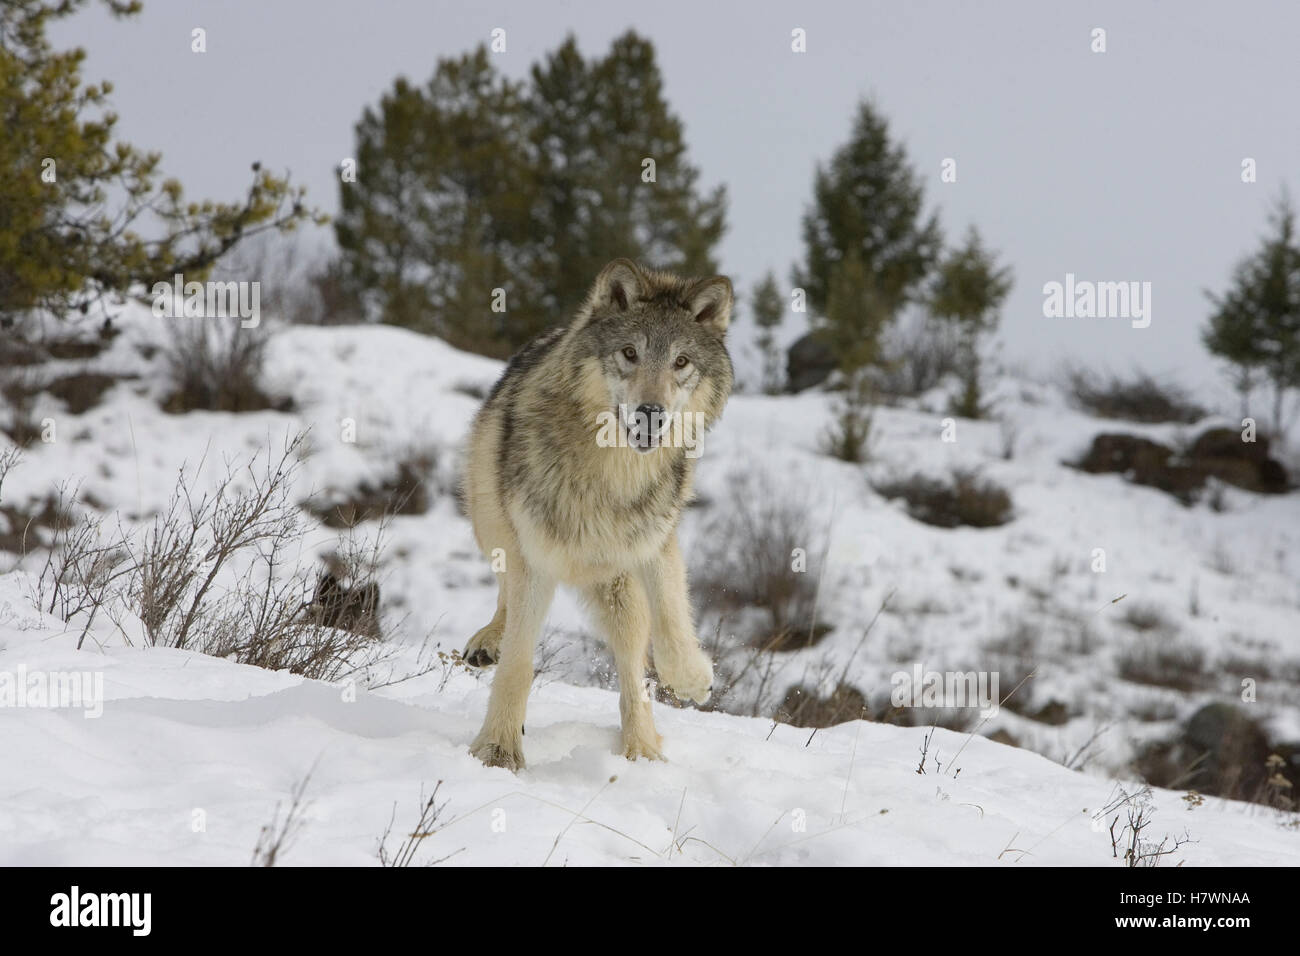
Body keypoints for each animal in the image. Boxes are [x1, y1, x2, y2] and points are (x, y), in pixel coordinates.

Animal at [461, 258, 734, 771]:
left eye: (681, 362)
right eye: (629, 353)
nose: (651, 414)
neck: (611, 475)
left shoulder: (653, 541)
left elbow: (671, 623)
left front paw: (692, 678)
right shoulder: (535, 556)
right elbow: (518, 664)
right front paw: (498, 750)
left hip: (618, 589)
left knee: (632, 670)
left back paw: (641, 748)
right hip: (490, 524)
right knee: (505, 593)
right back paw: (489, 641)